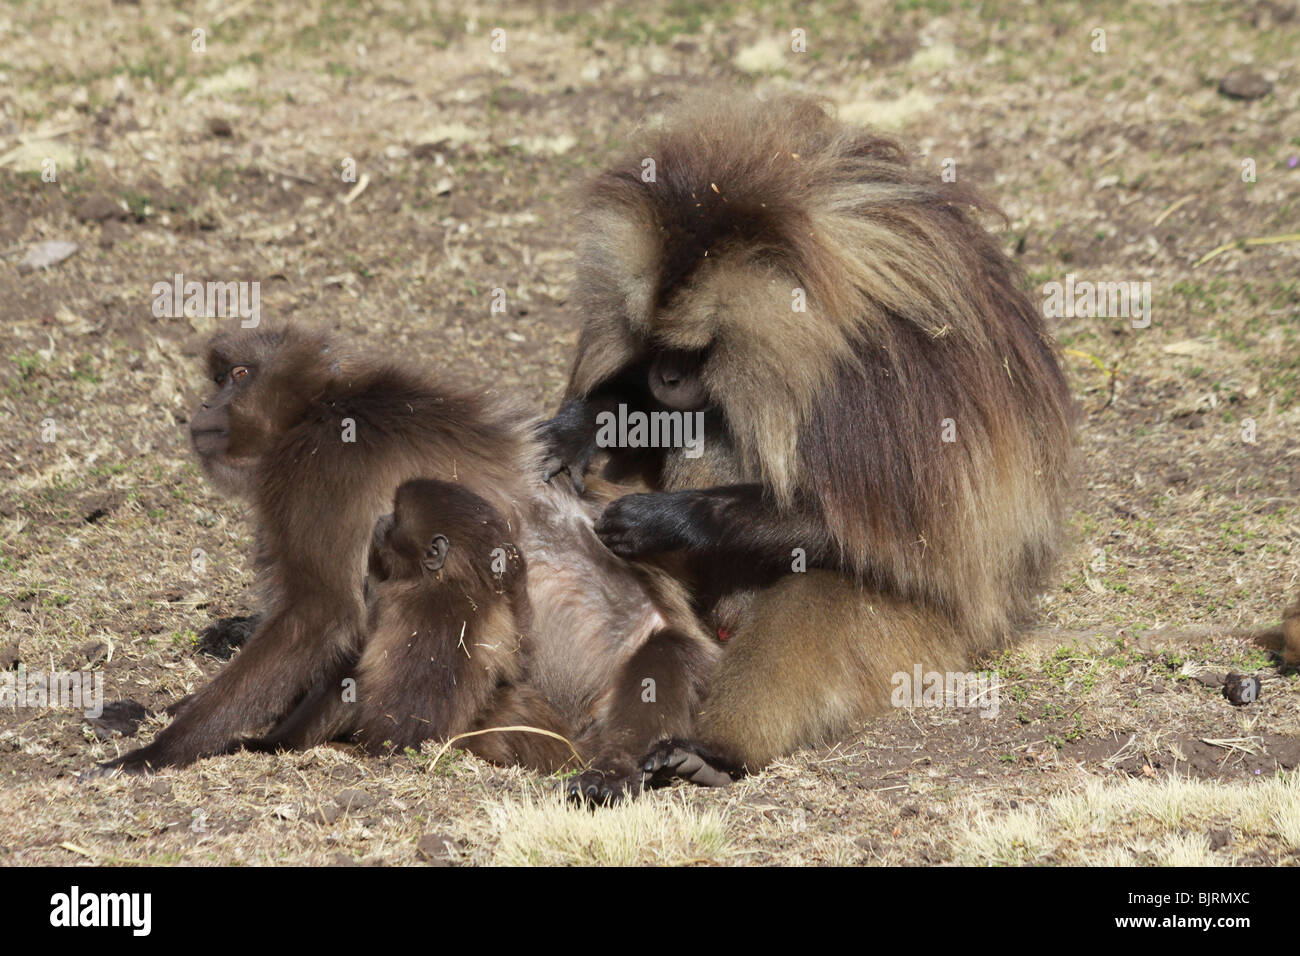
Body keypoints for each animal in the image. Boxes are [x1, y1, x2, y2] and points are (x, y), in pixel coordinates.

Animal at [88, 323, 718, 801]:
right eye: (219, 378)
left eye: (239, 377)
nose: (203, 406)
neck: (320, 409)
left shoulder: (318, 466)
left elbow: (322, 616)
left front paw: (165, 749)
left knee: (662, 655)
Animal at [541, 90, 1077, 783]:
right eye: (653, 342)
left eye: (692, 351)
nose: (663, 377)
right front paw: (587, 424)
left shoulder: (868, 393)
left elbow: (873, 534)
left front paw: (666, 520)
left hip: (922, 636)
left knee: (809, 583)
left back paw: (713, 753)